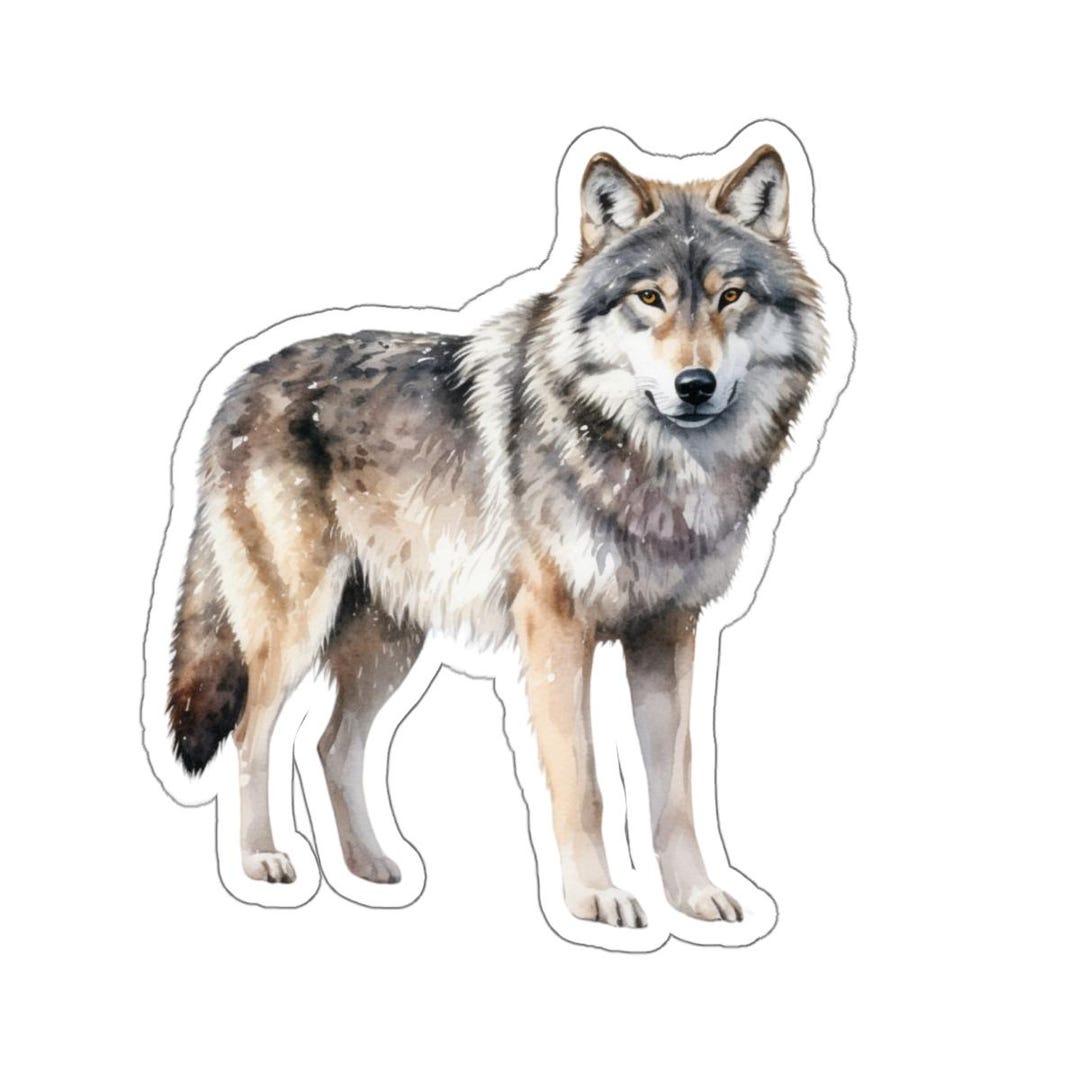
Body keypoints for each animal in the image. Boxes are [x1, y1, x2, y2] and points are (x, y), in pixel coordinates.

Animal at [167, 144, 825, 929]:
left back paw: (370, 867)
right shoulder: (556, 628)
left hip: (390, 643)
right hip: (297, 626)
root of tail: (237, 385)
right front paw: (595, 897)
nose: (694, 385)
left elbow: (676, 788)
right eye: (649, 298)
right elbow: (583, 781)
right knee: (252, 731)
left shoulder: (669, 632)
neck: (655, 466)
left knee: (331, 745)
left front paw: (695, 897)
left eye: (731, 296)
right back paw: (261, 859)